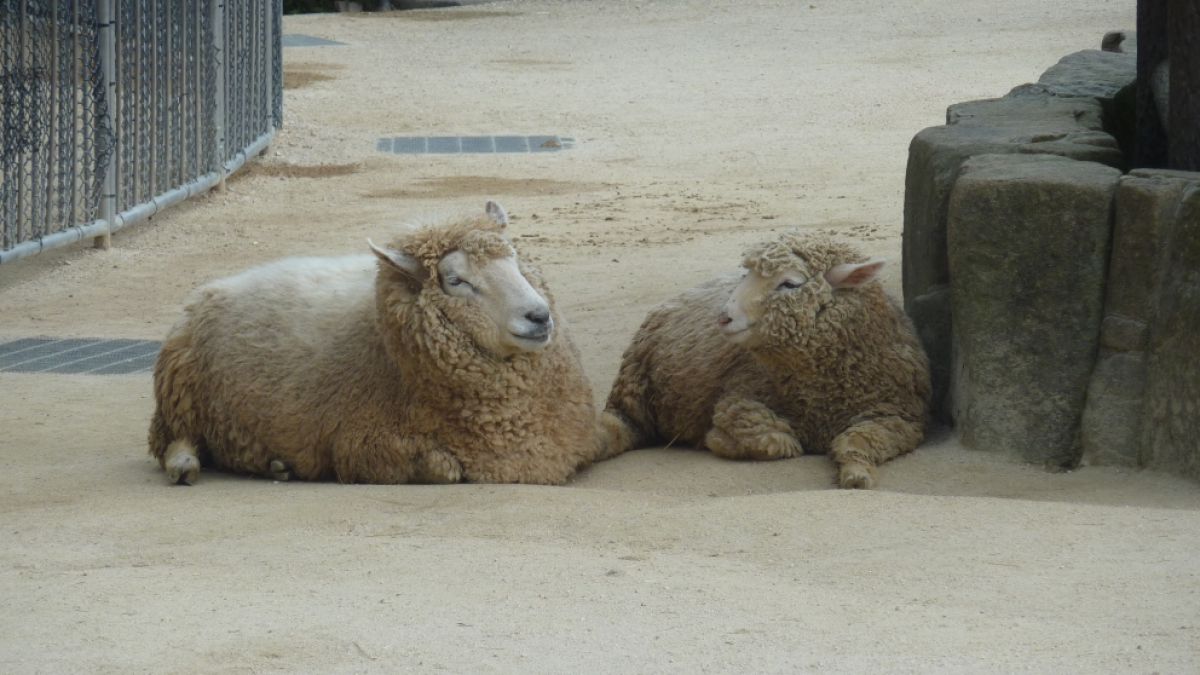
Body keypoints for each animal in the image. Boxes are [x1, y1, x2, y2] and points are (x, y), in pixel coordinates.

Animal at [148, 201, 599, 486]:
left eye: (515, 259)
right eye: (456, 281)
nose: (539, 316)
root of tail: (212, 288)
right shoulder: (361, 444)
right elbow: (443, 468)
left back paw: (276, 465)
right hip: (181, 392)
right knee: (177, 441)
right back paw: (186, 466)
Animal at [598, 231, 930, 489]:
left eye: (790, 284)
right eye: (747, 275)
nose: (724, 317)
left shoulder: (898, 418)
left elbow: (856, 442)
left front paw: (857, 475)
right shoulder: (737, 399)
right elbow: (779, 441)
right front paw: (718, 440)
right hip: (638, 390)